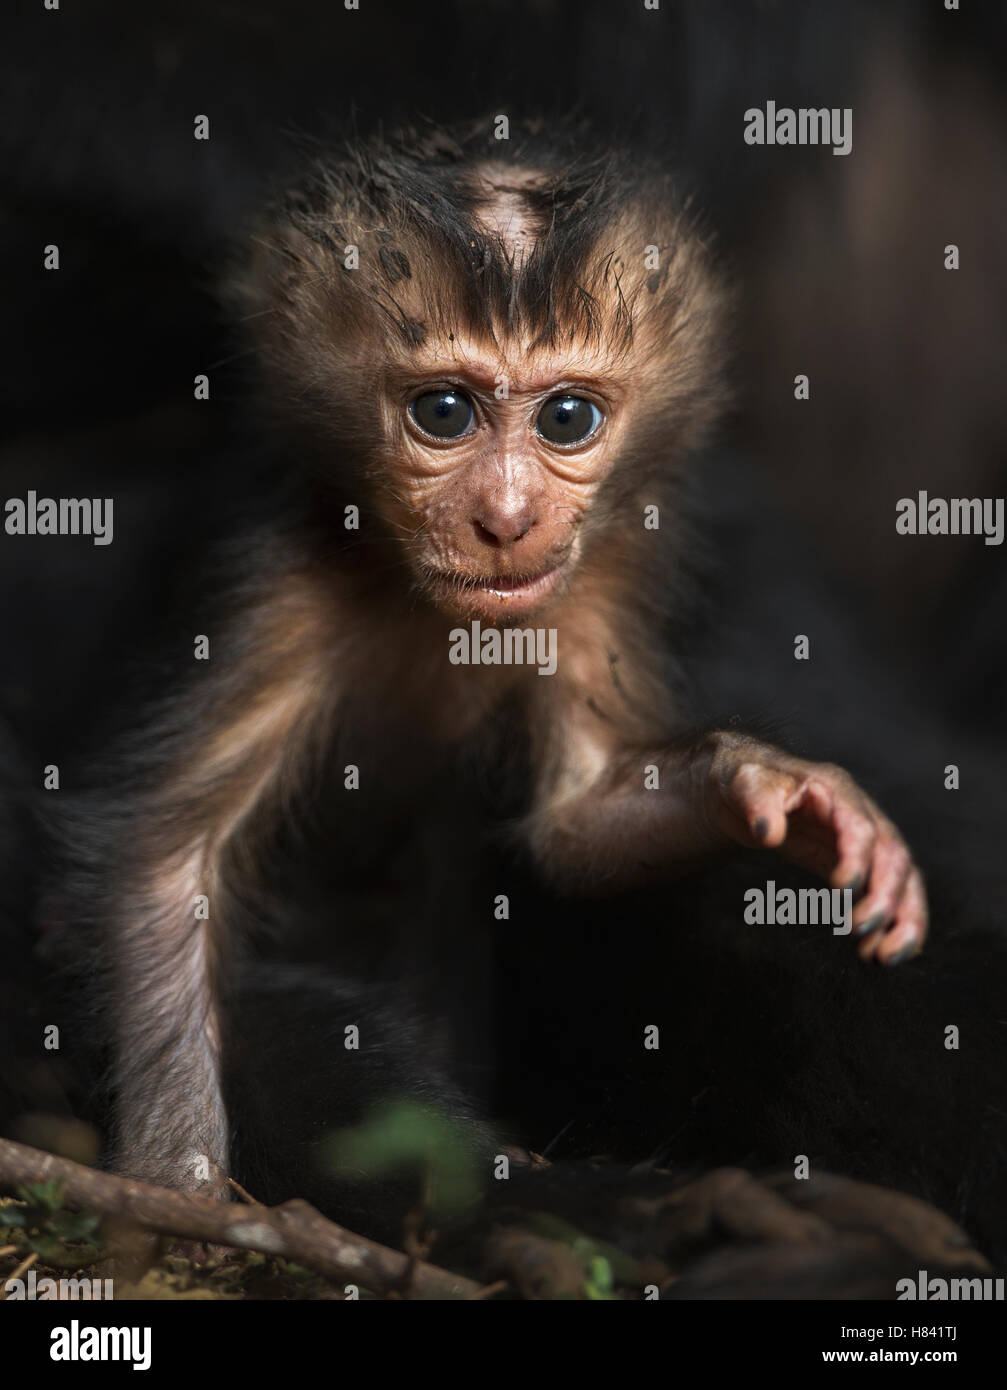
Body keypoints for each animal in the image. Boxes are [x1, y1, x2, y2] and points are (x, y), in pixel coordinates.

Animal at [60, 123, 932, 1205]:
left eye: (565, 419)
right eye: (442, 412)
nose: (507, 521)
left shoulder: (595, 577)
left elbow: (575, 819)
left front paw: (779, 790)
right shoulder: (286, 582)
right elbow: (167, 865)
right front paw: (173, 1193)